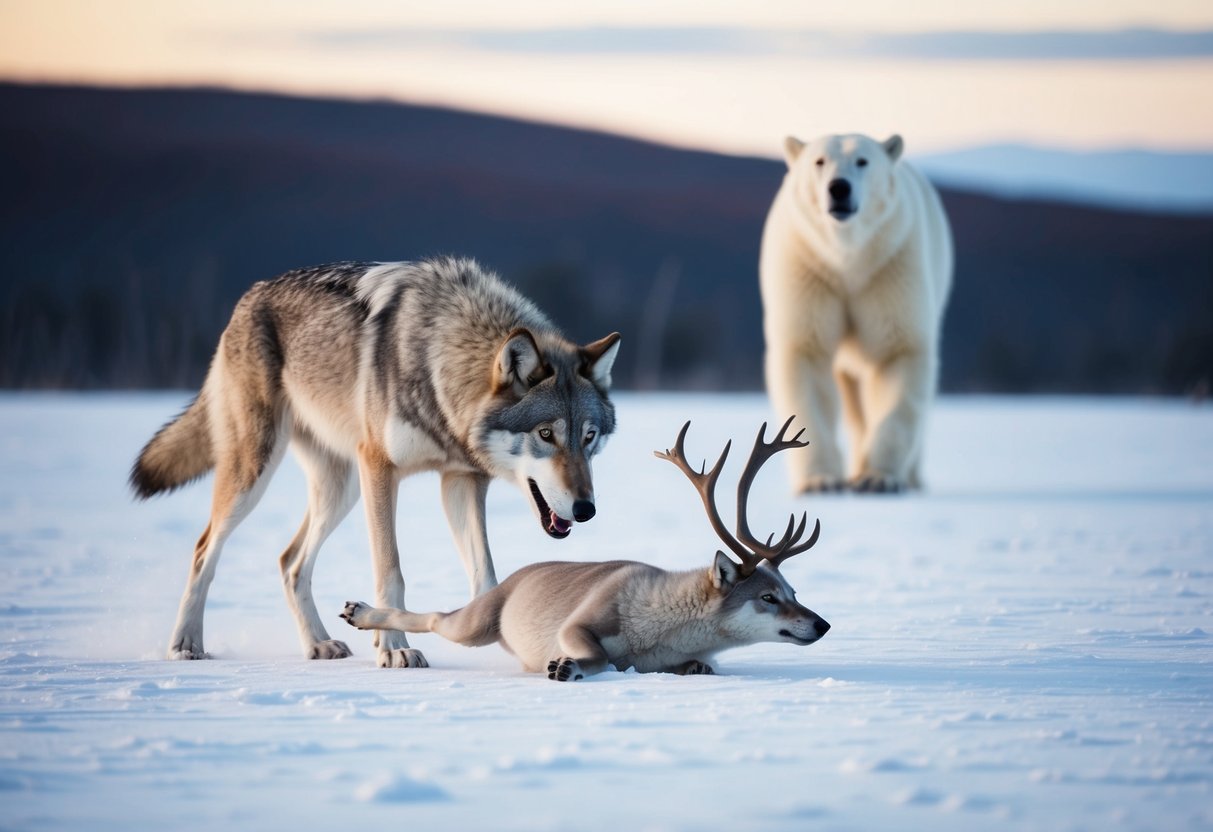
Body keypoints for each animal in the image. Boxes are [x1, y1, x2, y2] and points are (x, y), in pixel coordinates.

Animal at [130, 257, 621, 668]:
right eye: (545, 435)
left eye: (589, 438)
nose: (586, 509)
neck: (442, 366)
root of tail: (250, 294)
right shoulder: (380, 469)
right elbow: (391, 570)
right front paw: (395, 649)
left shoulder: (460, 479)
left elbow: (486, 574)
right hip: (259, 472)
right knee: (204, 549)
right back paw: (185, 645)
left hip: (340, 491)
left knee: (290, 562)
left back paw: (318, 644)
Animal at [340, 419, 830, 680]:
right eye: (767, 596)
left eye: (793, 591)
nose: (822, 624)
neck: (663, 628)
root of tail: (514, 577)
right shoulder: (586, 617)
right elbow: (598, 654)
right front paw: (564, 666)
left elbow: (700, 667)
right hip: (479, 620)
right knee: (437, 618)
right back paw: (359, 613)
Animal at [760, 133, 953, 493]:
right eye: (819, 161)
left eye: (862, 161)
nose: (839, 188)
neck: (847, 258)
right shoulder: (809, 268)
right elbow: (806, 357)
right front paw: (821, 481)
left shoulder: (890, 267)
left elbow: (898, 353)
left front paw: (878, 478)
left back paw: (911, 478)